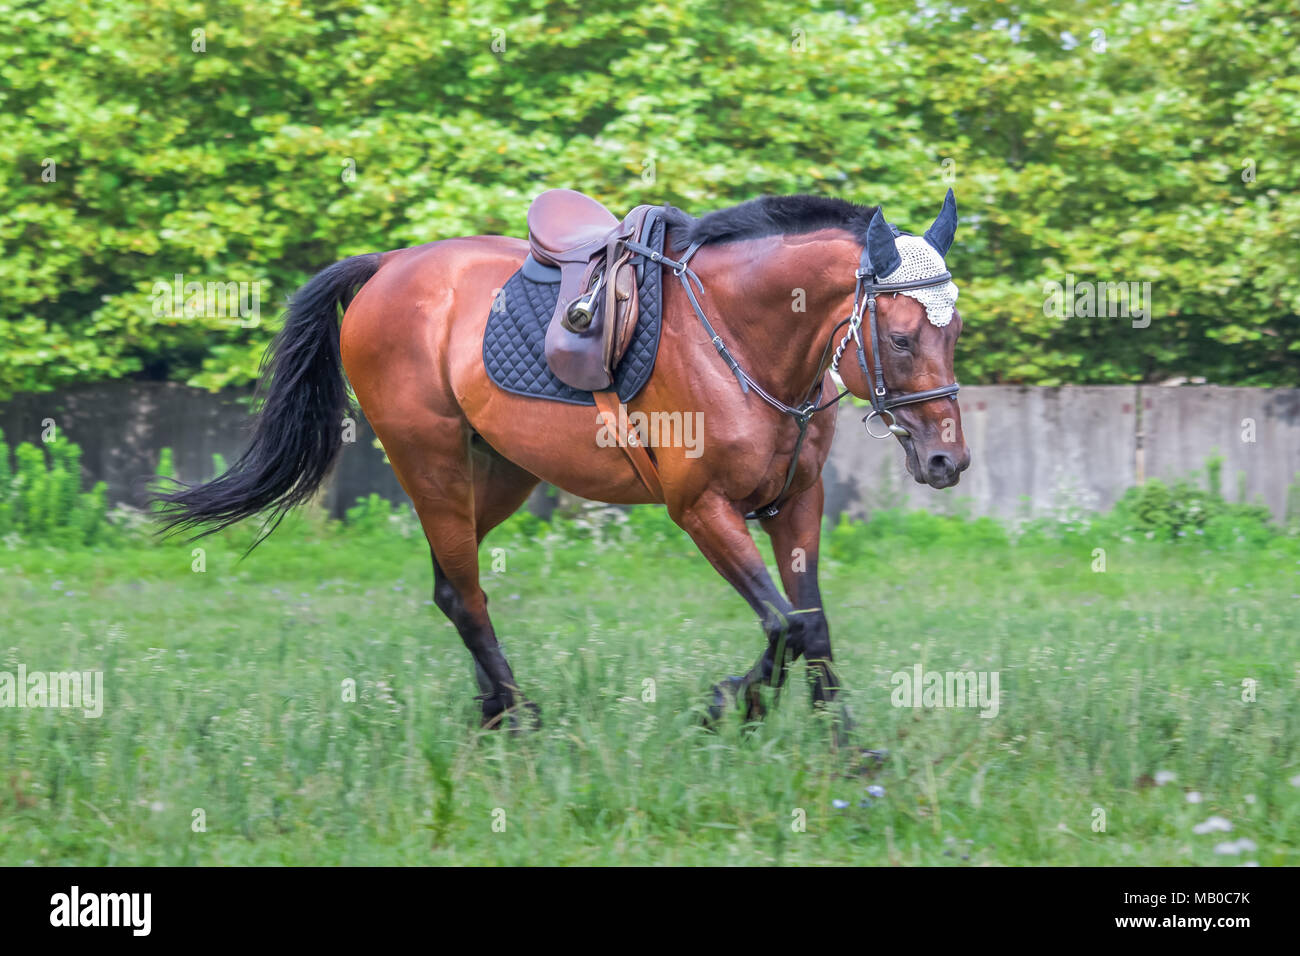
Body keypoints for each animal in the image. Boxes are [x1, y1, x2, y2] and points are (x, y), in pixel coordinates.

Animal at [155, 190, 970, 731]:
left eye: (954, 330)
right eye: (901, 338)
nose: (947, 460)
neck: (743, 339)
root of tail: (388, 266)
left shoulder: (796, 503)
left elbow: (812, 627)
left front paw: (850, 757)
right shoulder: (701, 509)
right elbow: (784, 627)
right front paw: (728, 705)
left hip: (499, 474)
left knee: (452, 589)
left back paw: (493, 708)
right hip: (432, 464)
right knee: (466, 595)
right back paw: (515, 717)